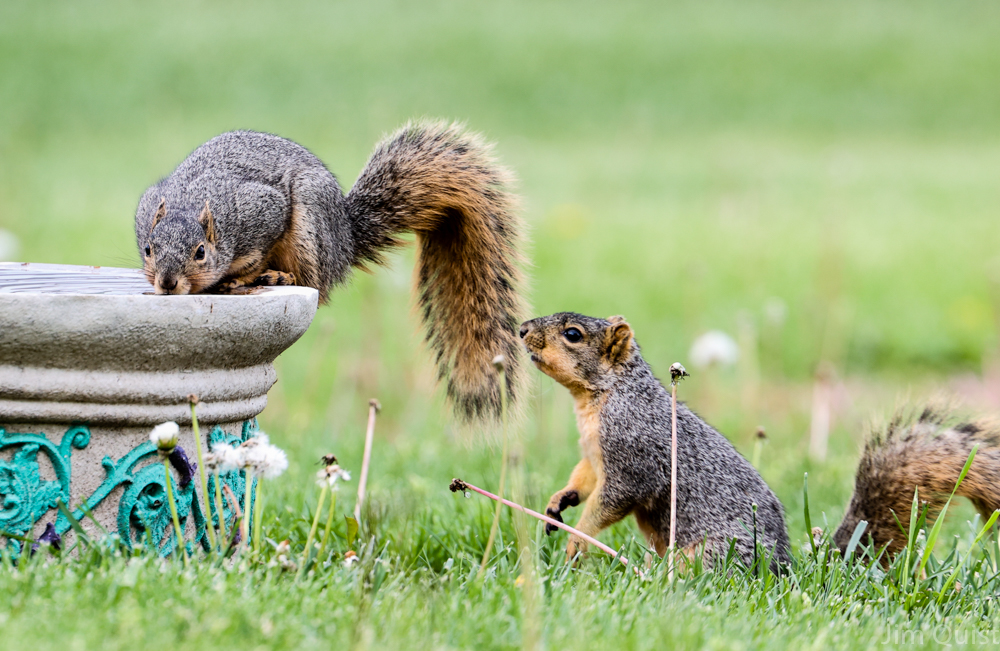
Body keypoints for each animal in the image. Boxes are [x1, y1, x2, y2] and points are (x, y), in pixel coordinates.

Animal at [134, 121, 526, 421]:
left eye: (200, 252)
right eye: (148, 249)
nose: (167, 283)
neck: (191, 203)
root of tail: (344, 241)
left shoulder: (261, 213)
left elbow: (257, 253)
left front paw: (243, 276)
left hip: (310, 225)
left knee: (316, 285)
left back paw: (279, 276)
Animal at [521, 312, 1000, 568]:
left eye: (573, 334)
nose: (523, 329)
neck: (597, 400)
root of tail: (786, 569)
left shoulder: (634, 455)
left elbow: (613, 500)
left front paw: (578, 539)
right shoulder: (594, 457)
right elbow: (583, 480)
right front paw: (558, 503)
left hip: (718, 550)